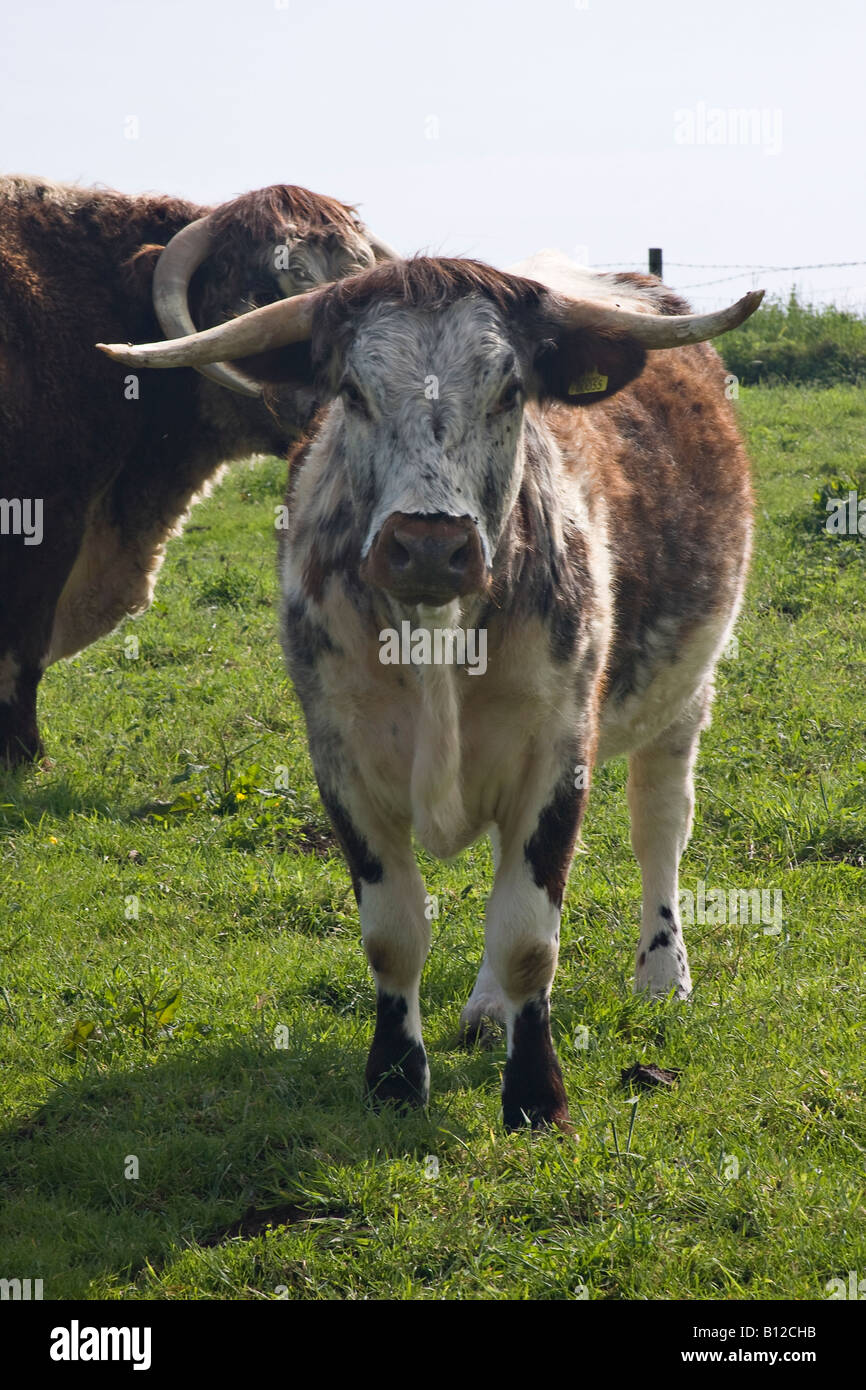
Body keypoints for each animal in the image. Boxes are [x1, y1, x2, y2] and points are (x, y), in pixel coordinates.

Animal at [99, 253, 762, 1131]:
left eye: (511, 391)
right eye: (352, 391)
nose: (427, 545)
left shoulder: (557, 759)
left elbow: (529, 936)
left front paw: (535, 1094)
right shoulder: (340, 763)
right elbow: (395, 934)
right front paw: (392, 1078)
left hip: (684, 698)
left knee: (659, 827)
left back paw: (662, 975)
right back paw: (485, 1010)